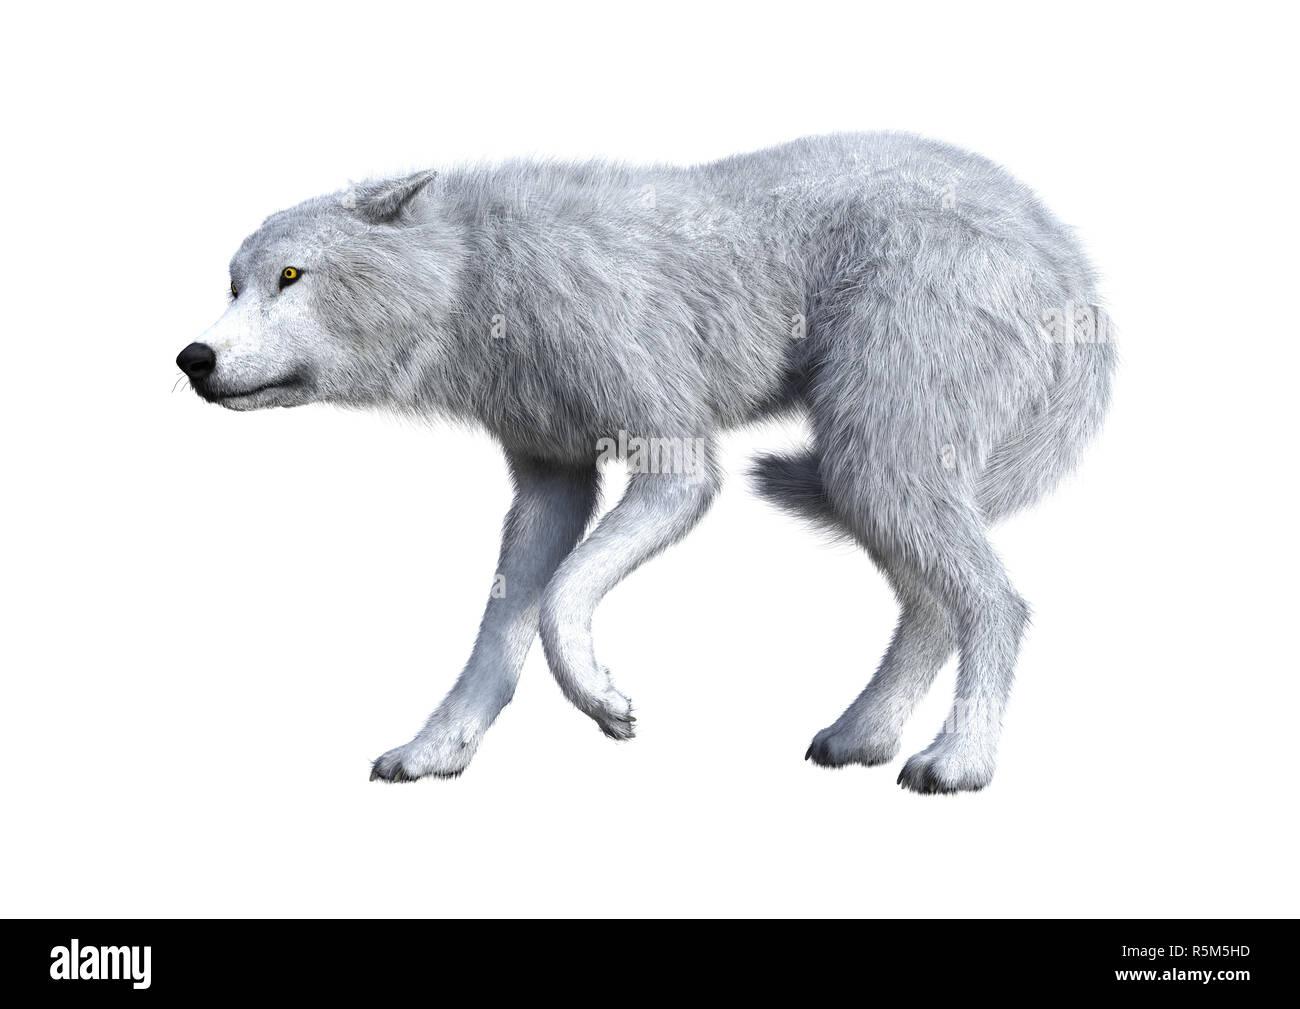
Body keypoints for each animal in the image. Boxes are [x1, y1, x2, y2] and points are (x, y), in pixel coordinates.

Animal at [178, 133, 1114, 793]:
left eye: (292, 276)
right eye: (234, 284)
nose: (192, 359)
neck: (487, 275)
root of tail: (1064, 248)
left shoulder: (677, 462)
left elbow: (561, 598)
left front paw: (603, 699)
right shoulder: (551, 482)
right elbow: (498, 634)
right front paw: (436, 750)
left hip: (873, 463)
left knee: (999, 604)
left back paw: (957, 763)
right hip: (868, 478)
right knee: (930, 605)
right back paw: (862, 737)